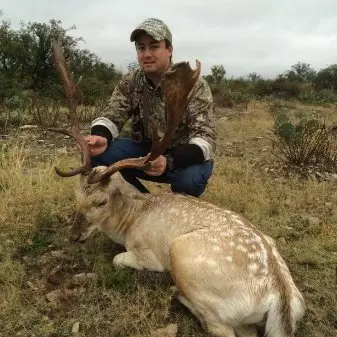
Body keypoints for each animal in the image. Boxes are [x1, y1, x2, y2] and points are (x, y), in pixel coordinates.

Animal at [49, 40, 304, 336]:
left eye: (101, 201)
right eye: (75, 195)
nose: (74, 236)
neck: (131, 220)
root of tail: (279, 297)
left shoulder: (148, 254)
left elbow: (117, 259)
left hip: (183, 256)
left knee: (221, 327)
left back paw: (179, 295)